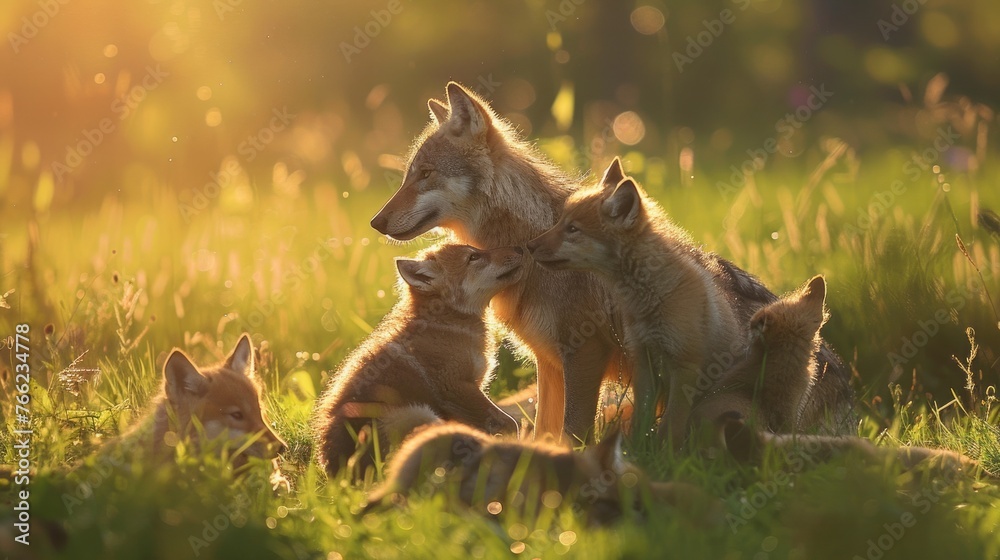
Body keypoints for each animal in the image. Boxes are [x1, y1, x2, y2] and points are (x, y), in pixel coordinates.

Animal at [312, 244, 521, 479]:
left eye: (476, 250)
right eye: (473, 257)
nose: (520, 249)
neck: (446, 323)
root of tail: (342, 472)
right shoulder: (457, 388)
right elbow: (509, 423)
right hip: (419, 414)